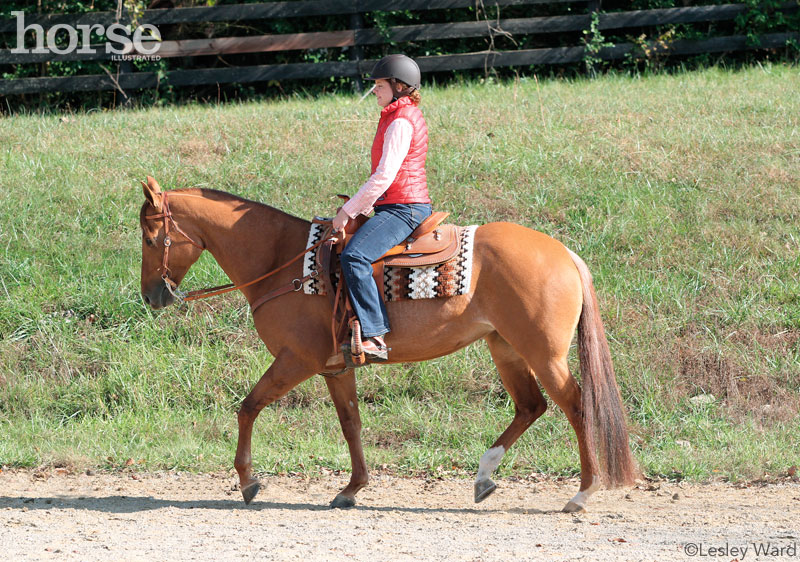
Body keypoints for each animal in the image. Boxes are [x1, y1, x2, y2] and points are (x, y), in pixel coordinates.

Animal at [138, 176, 639, 512]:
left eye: (150, 236)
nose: (152, 295)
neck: (284, 262)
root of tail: (564, 254)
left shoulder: (296, 360)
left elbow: (248, 407)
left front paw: (247, 481)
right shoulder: (335, 366)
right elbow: (351, 423)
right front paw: (351, 488)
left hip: (544, 354)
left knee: (576, 406)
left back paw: (583, 492)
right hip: (506, 348)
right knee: (531, 406)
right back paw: (483, 477)